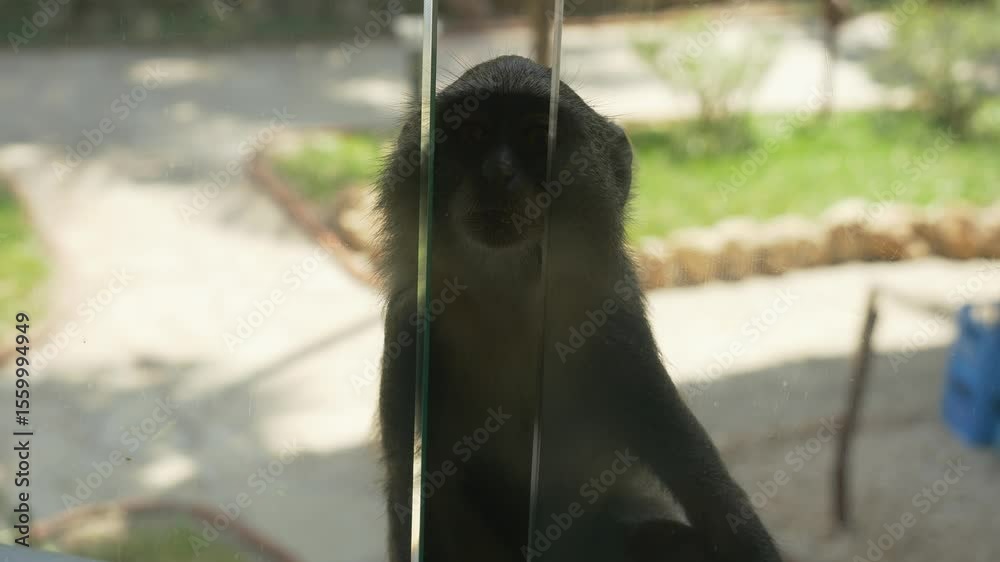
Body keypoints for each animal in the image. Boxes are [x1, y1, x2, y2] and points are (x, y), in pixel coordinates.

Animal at [374, 55, 782, 562]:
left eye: (535, 136)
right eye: (474, 133)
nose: (497, 173)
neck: (509, 295)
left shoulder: (612, 320)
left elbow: (702, 479)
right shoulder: (408, 323)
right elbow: (403, 494)